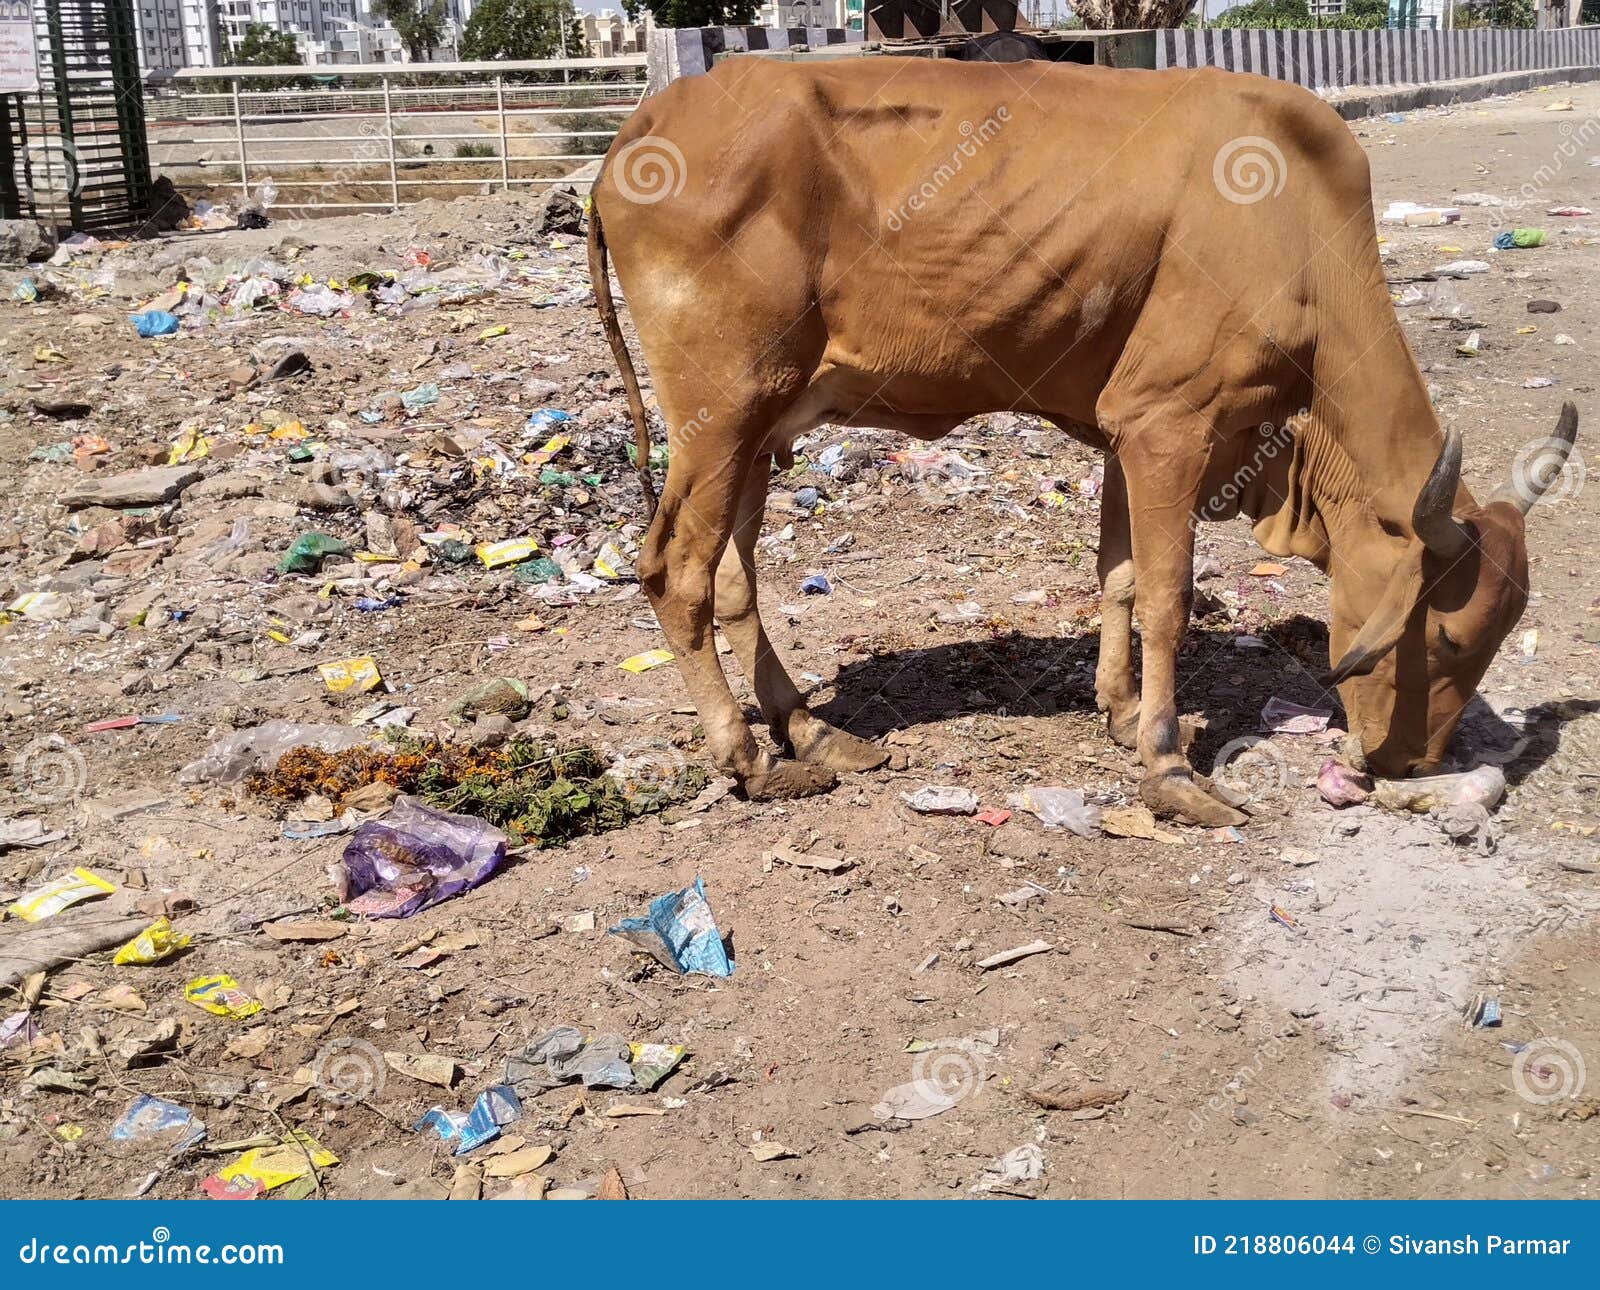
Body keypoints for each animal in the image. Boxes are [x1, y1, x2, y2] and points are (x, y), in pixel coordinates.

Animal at [587, 56, 1577, 826]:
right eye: (1448, 640)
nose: (1413, 765)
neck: (1300, 233)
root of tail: (637, 131)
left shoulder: (1124, 428)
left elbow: (1120, 577)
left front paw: (1120, 709)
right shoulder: (1169, 421)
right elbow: (1170, 598)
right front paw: (1170, 768)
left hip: (761, 426)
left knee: (732, 577)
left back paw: (814, 729)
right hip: (722, 414)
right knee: (677, 572)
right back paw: (749, 758)